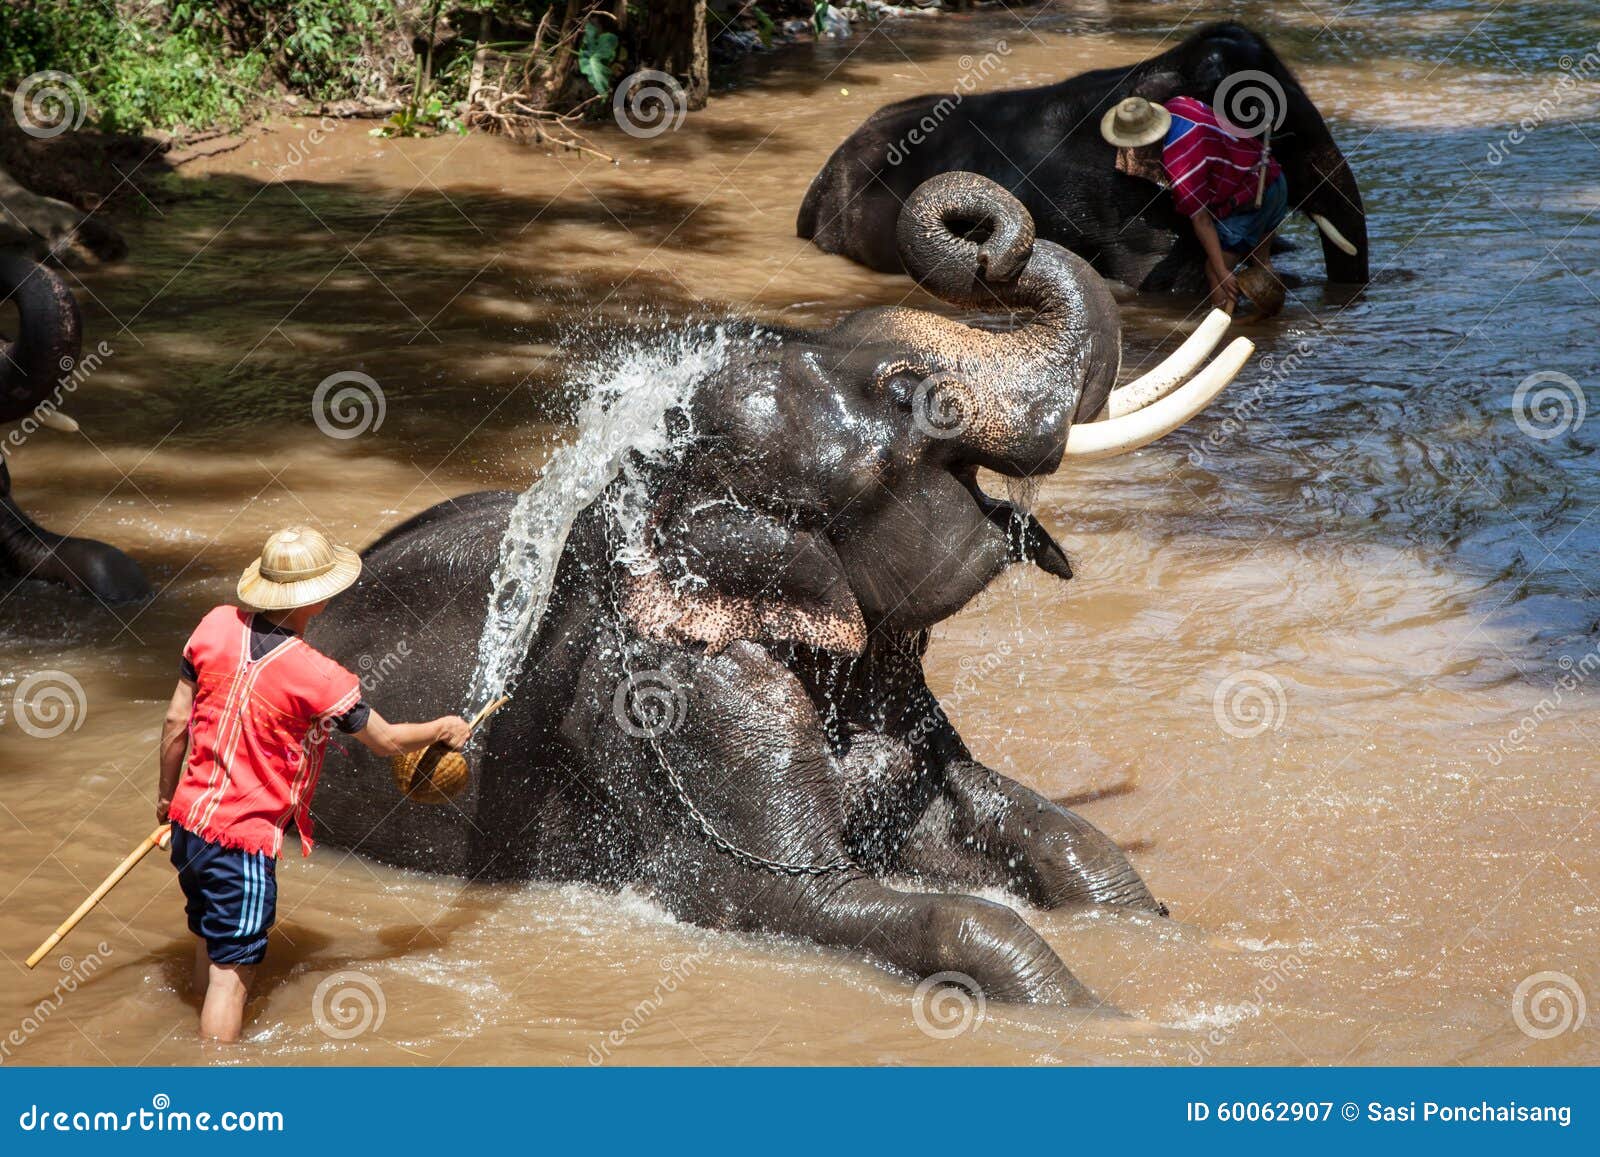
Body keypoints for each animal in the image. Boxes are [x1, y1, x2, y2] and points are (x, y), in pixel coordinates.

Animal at [305, 169, 1241, 1004]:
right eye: (911, 394)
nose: (985, 242)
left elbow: (1031, 827)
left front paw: (1173, 937)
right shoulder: (691, 698)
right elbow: (785, 893)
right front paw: (1101, 1015)